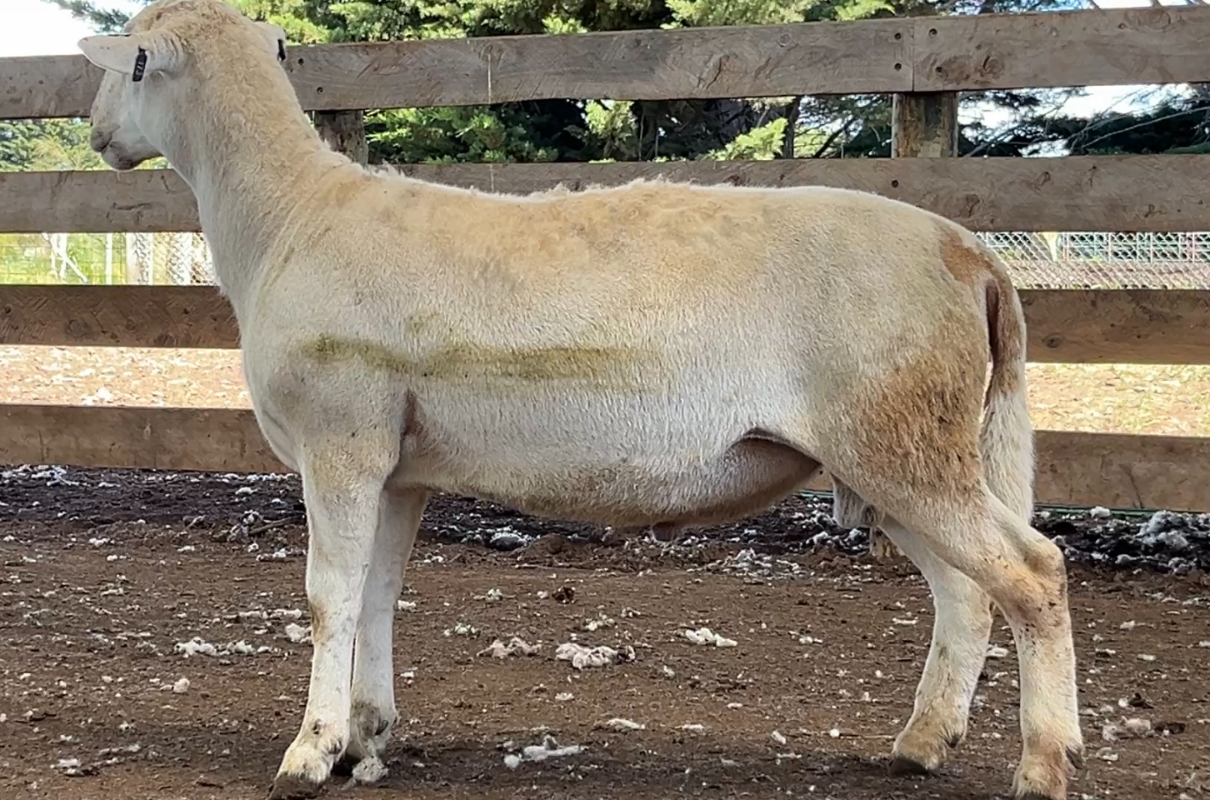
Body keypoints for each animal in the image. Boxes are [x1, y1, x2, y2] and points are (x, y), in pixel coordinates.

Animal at [76, 2, 1083, 799]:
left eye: (130, 65)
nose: (93, 134)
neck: (285, 217)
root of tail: (972, 251)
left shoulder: (341, 443)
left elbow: (329, 597)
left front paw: (310, 752)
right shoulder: (398, 467)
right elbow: (377, 596)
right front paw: (368, 739)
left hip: (901, 439)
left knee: (1032, 573)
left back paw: (1044, 763)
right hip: (900, 449)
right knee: (970, 592)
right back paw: (924, 742)